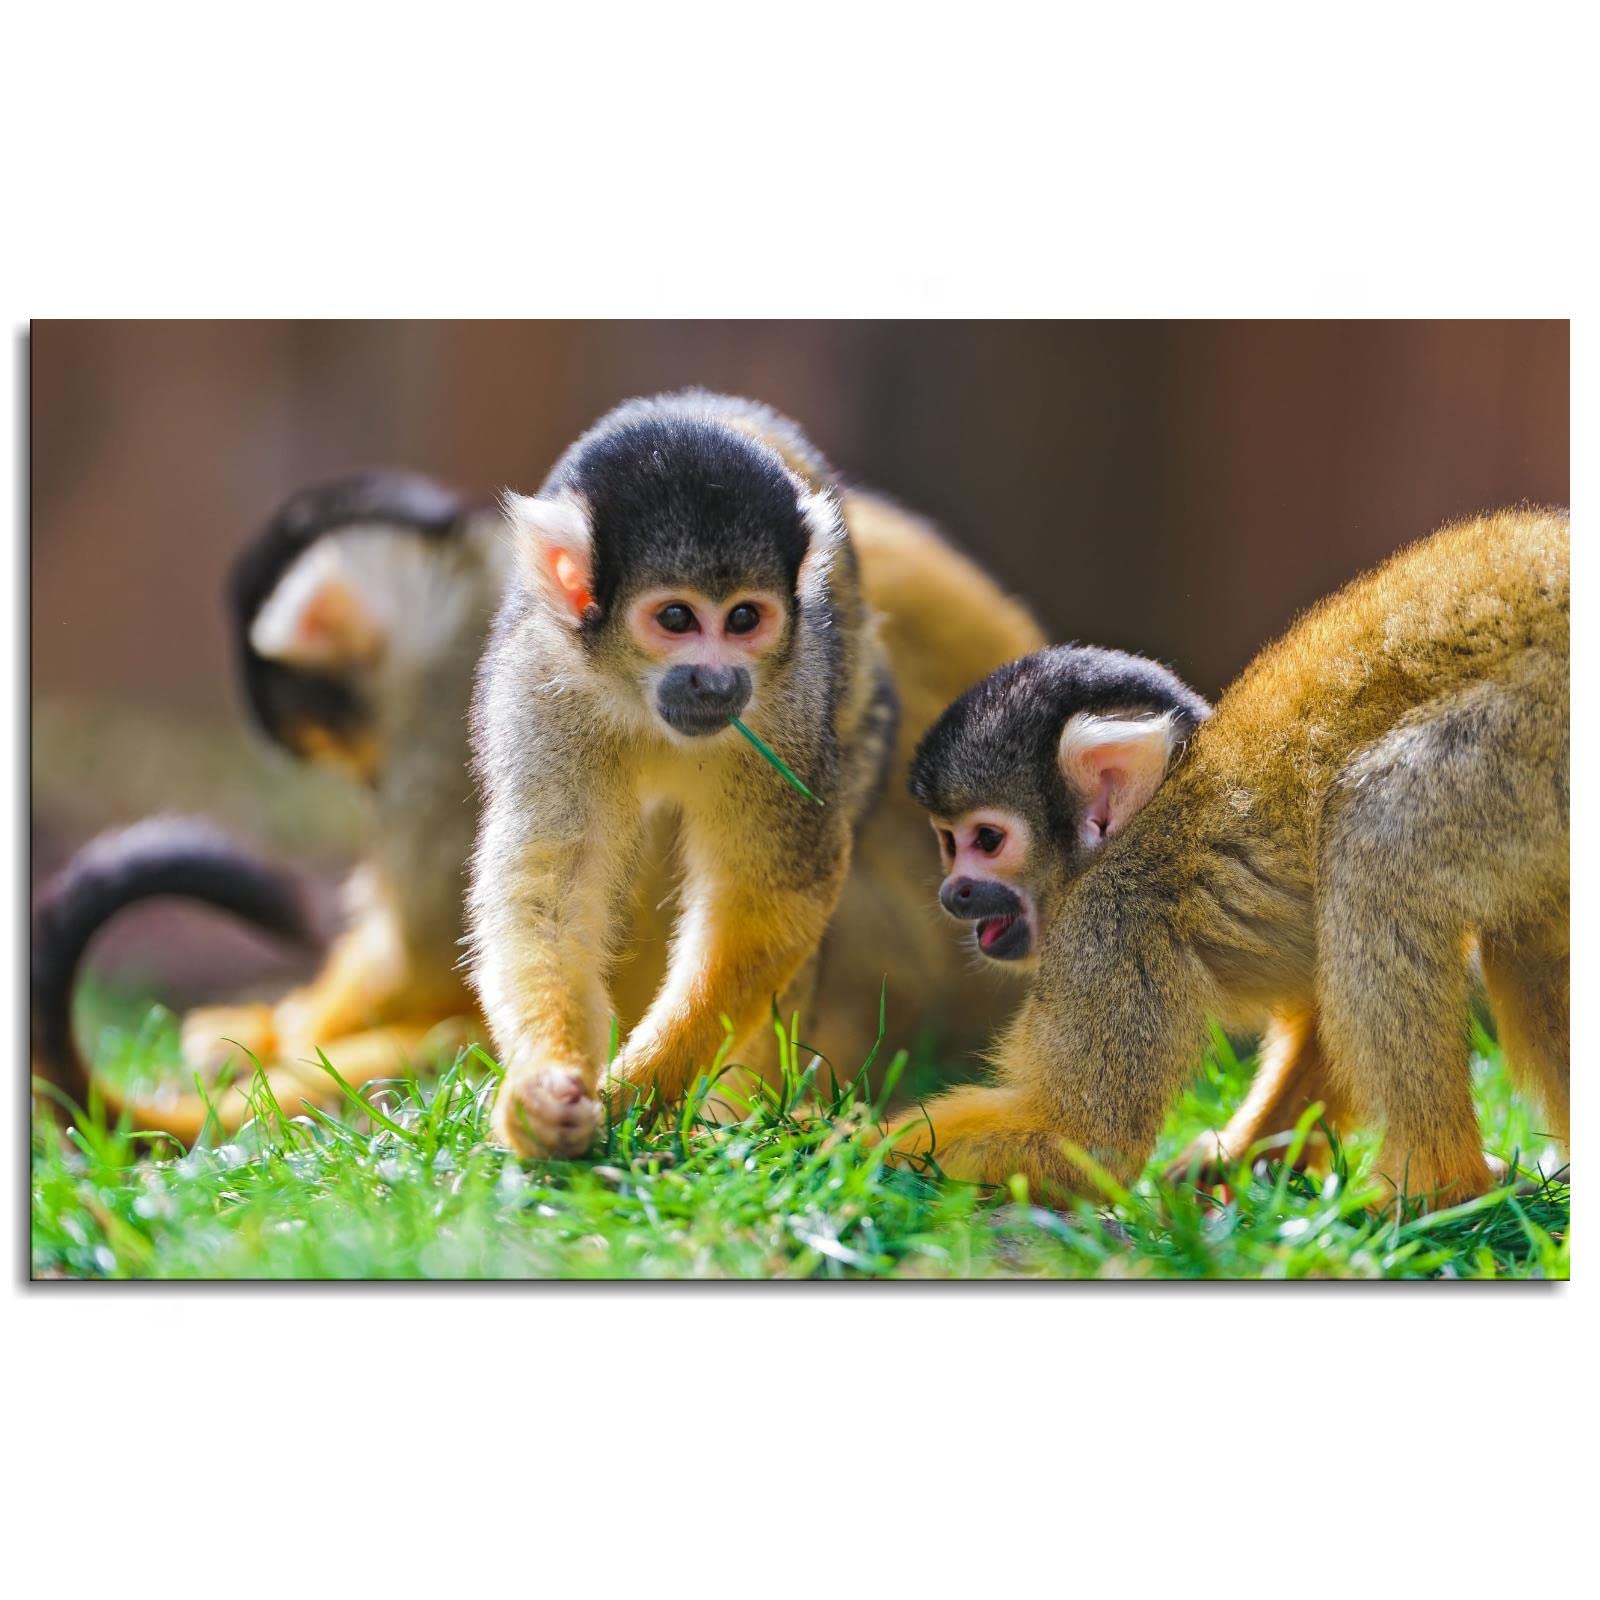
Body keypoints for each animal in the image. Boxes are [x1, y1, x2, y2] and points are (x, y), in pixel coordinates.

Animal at [466, 389, 1044, 1160]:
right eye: (676, 617)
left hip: (862, 718)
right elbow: (549, 890)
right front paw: (542, 1095)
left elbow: (776, 894)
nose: (716, 681)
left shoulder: (791, 695)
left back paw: (757, 1115)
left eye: (744, 618)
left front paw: (635, 1091)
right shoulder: (538, 679)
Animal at [895, 507, 1568, 1209]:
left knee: (1376, 835)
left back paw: (1435, 1187)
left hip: (1536, 726)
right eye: (947, 842)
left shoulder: (1111, 924)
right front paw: (1238, 1157)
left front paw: (861, 1149)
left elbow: (1083, 1140)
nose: (953, 892)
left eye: (987, 841)